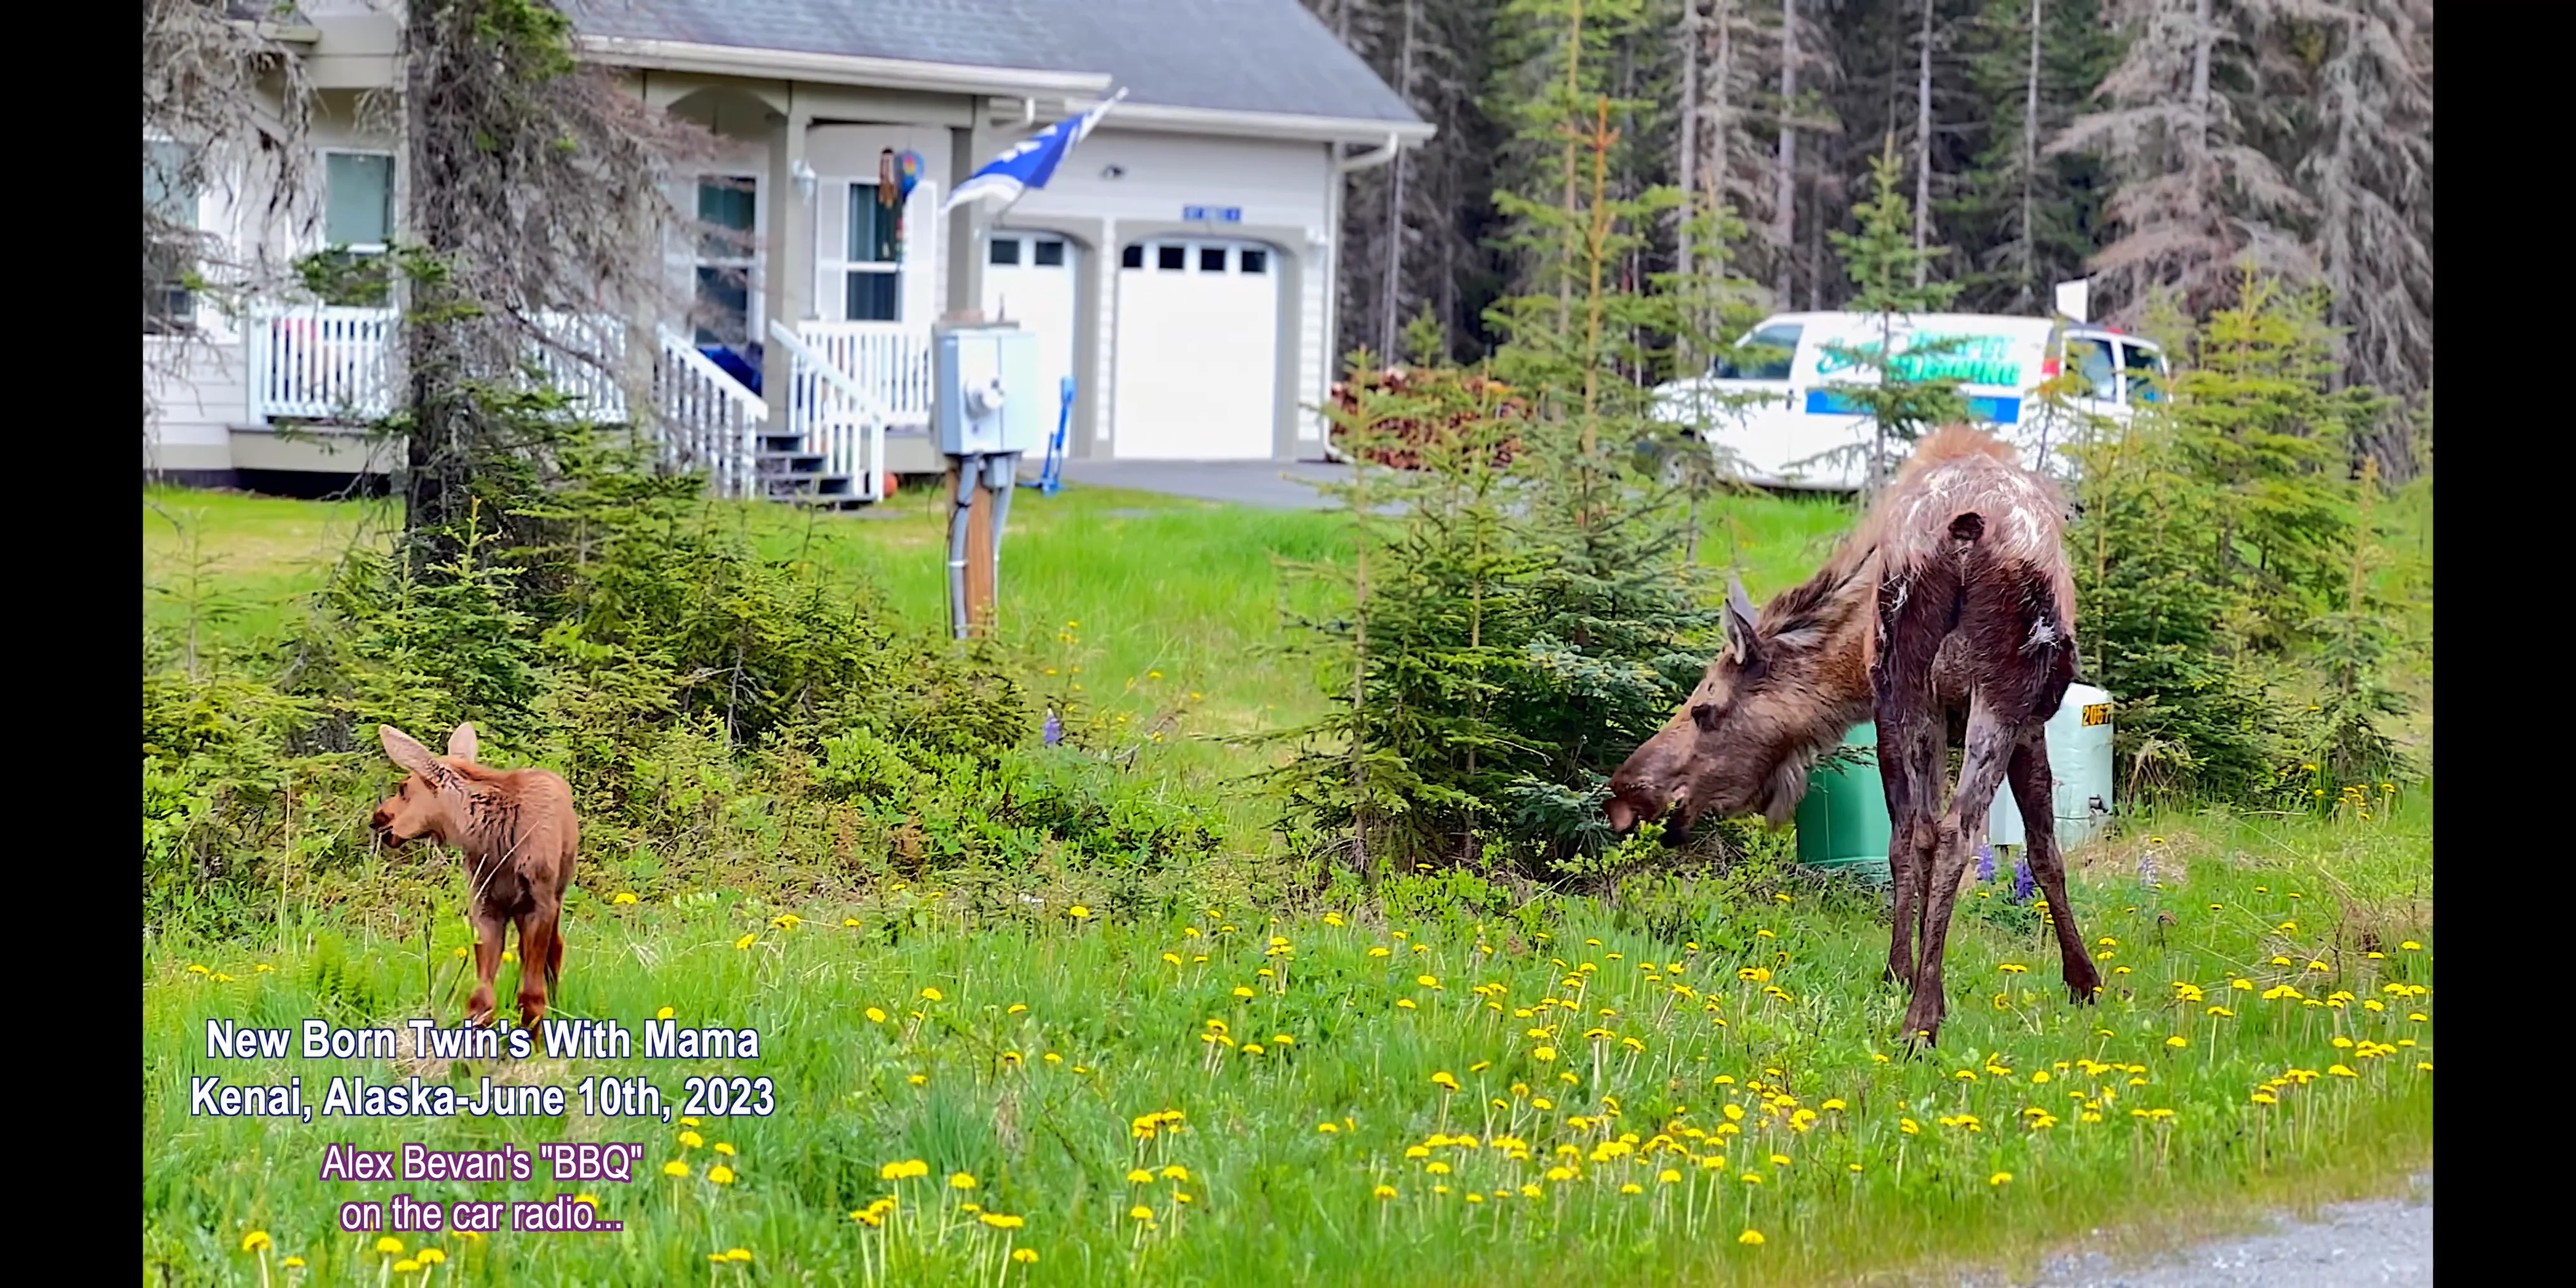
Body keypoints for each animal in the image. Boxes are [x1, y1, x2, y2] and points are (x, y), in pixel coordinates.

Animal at [370, 723, 579, 1029]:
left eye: (403, 788)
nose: (378, 819)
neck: (497, 840)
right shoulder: (484, 904)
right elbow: (481, 999)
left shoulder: (539, 905)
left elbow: (531, 998)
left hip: (556, 895)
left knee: (555, 950)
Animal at [1603, 425, 2099, 1049]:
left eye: (1704, 709)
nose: (1623, 794)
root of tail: (1962, 532)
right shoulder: (2029, 718)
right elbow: (2044, 849)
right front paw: (2083, 980)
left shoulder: (1894, 707)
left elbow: (1908, 840)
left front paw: (1900, 970)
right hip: (2003, 691)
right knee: (1957, 831)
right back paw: (1925, 1017)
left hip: (1911, 684)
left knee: (1922, 831)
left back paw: (1914, 998)